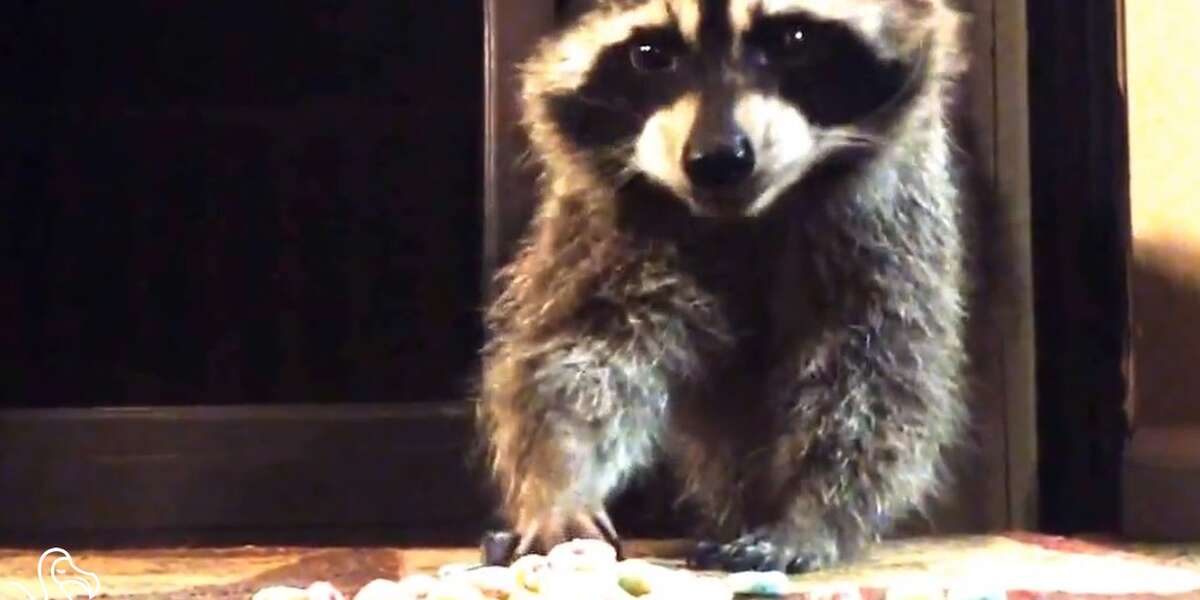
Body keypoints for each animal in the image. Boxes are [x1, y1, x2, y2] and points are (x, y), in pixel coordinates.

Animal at [476, 0, 971, 573]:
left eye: (794, 39)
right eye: (650, 54)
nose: (717, 158)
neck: (743, 221)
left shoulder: (889, 227)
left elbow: (879, 383)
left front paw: (810, 513)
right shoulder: (605, 224)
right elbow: (575, 357)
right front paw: (560, 482)